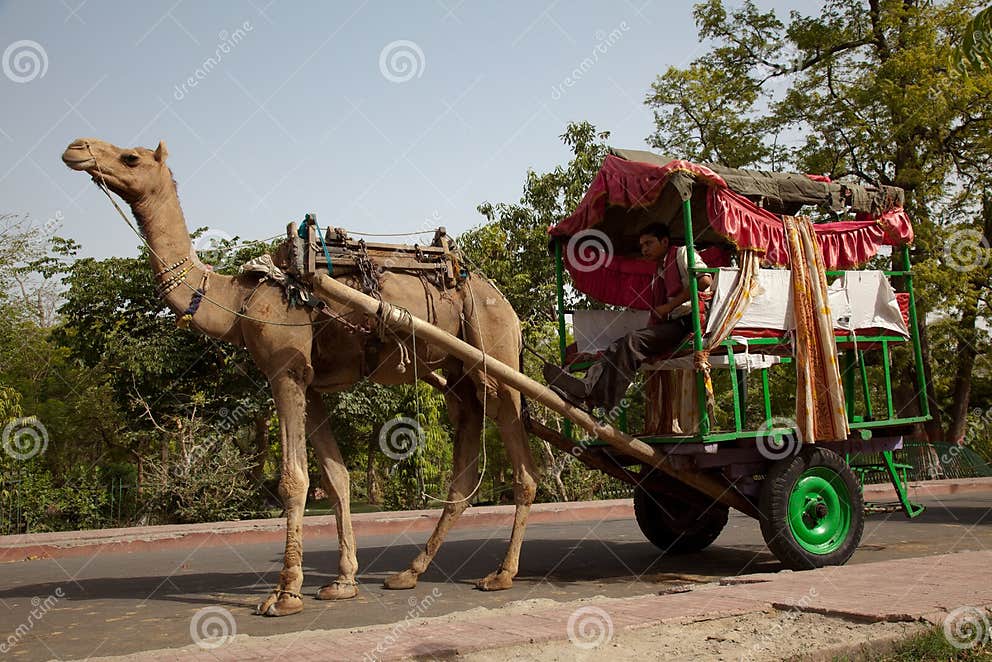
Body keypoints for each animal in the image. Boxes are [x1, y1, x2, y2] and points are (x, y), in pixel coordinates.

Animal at [62, 138, 538, 617]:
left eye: (130, 158)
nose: (76, 149)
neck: (238, 299)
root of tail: (508, 307)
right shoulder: (312, 386)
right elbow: (336, 477)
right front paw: (344, 582)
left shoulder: (285, 370)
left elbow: (294, 480)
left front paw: (285, 592)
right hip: (460, 378)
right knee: (465, 469)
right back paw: (410, 572)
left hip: (493, 353)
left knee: (523, 463)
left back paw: (501, 573)